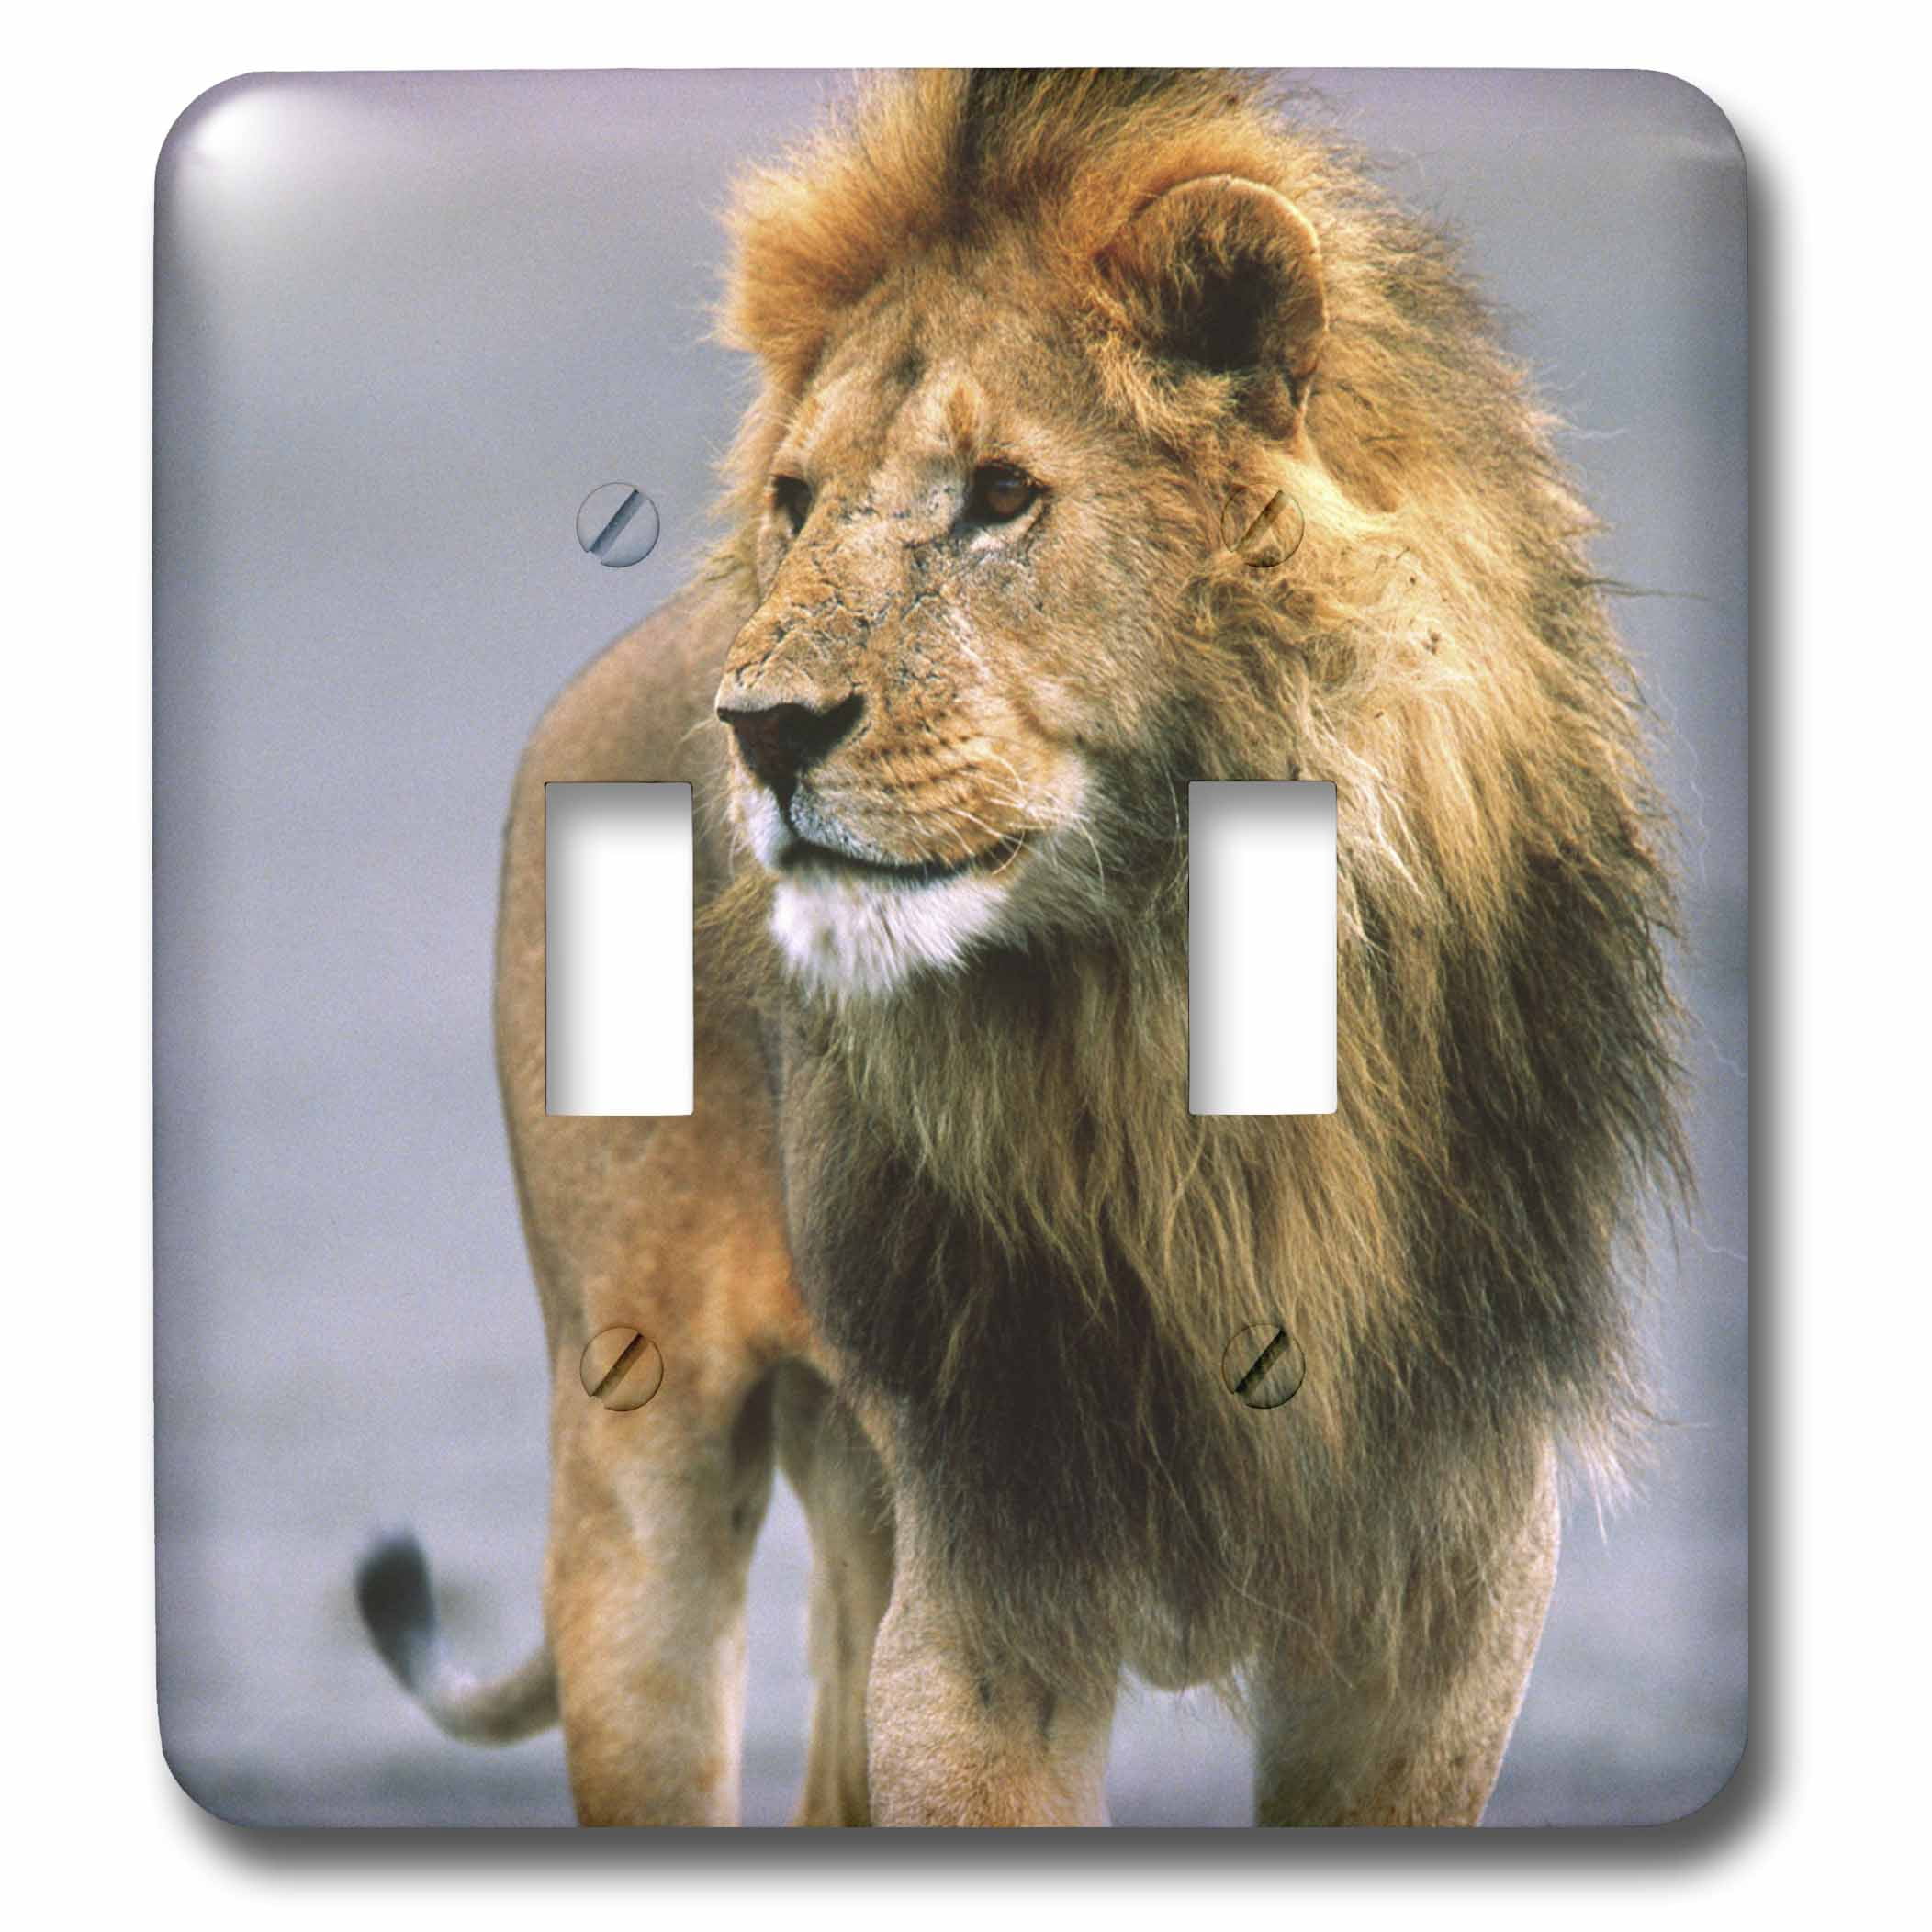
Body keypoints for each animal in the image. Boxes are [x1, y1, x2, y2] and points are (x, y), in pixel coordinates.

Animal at [356, 68, 1684, 1827]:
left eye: (999, 496)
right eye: (794, 502)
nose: (759, 729)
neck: (1169, 1012)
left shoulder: (1445, 1601)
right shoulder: (986, 1583)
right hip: (643, 1489)